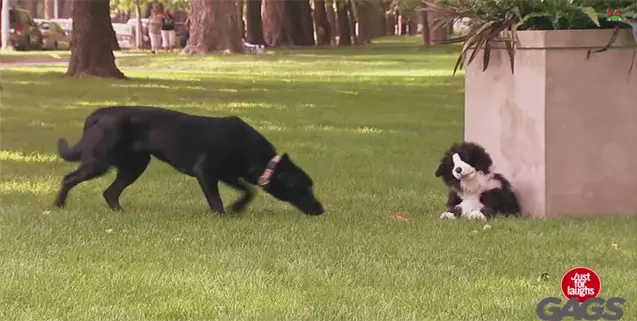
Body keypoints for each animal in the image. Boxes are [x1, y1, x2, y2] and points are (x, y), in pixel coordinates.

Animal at [52, 105, 326, 215]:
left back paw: (121, 213)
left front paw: (236, 208)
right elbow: (216, 200)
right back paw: (57, 206)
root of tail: (100, 114)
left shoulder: (228, 175)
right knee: (69, 178)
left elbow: (249, 192)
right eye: (303, 187)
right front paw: (223, 214)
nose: (321, 209)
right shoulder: (205, 172)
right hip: (100, 161)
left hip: (135, 165)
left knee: (110, 192)